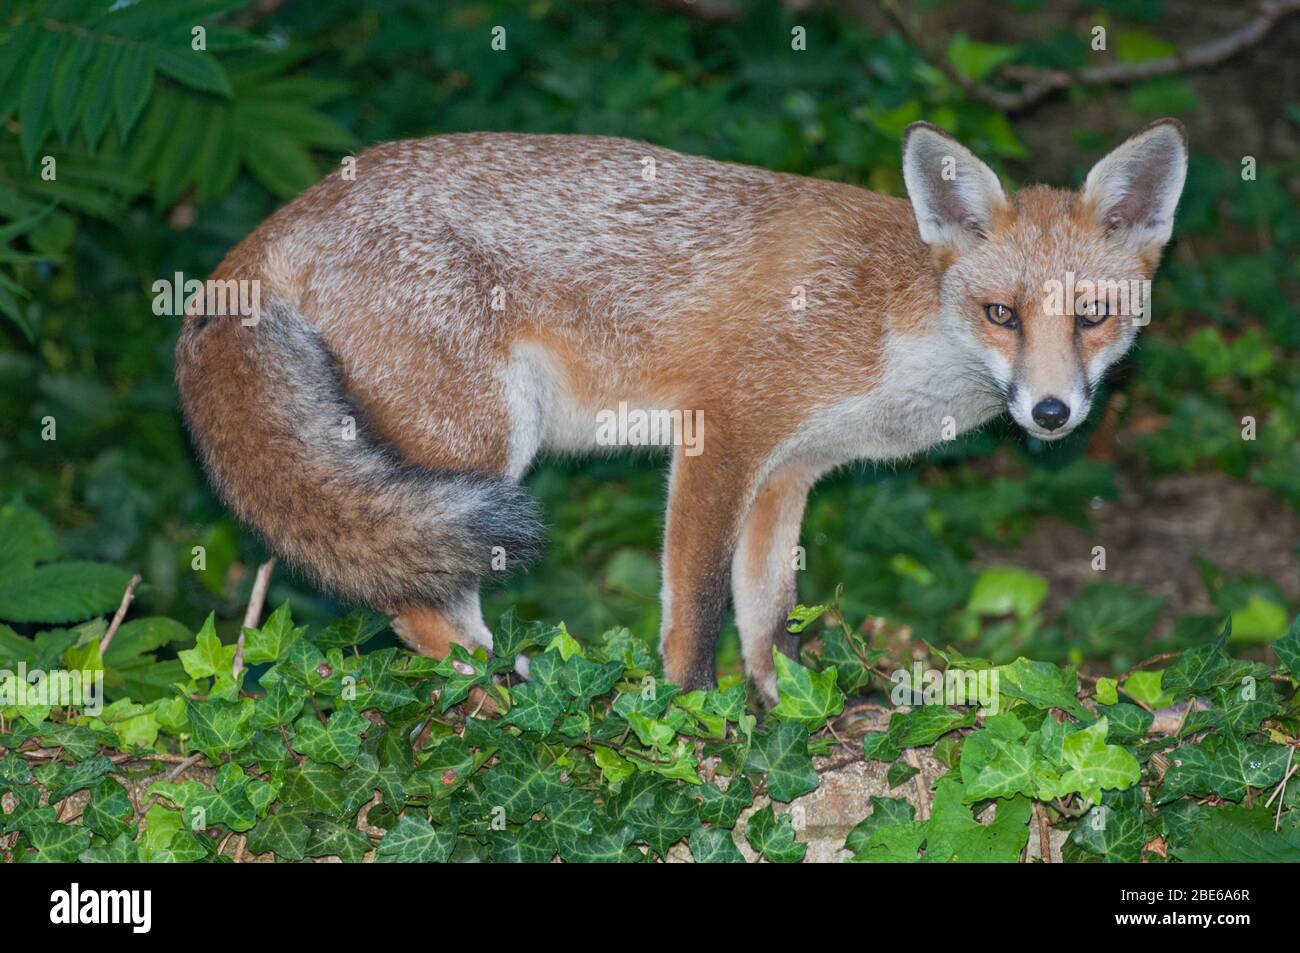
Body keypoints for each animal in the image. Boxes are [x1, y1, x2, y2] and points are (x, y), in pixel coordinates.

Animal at [175, 119, 1187, 702]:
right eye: (1002, 314)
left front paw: (783, 714)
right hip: (480, 453)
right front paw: (694, 722)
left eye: (1092, 316)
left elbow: (767, 613)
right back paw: (508, 704)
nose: (1051, 412)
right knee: (418, 611)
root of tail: (272, 228)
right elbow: (694, 612)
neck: (887, 321)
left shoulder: (788, 473)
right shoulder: (722, 437)